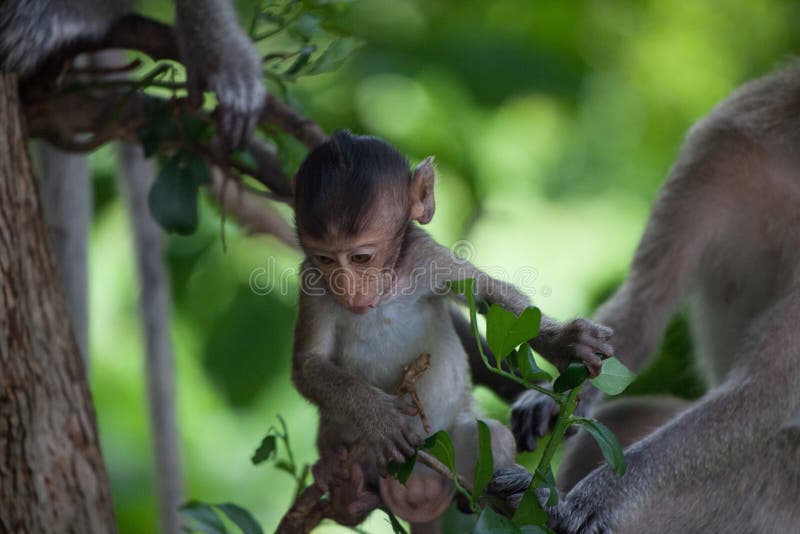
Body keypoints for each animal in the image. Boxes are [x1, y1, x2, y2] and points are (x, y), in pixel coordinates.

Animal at [290, 130, 615, 531]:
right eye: (325, 259)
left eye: (361, 258)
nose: (348, 289)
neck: (385, 289)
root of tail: (418, 487)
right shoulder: (311, 284)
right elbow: (308, 364)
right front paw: (377, 418)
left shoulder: (426, 256)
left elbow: (489, 292)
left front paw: (564, 342)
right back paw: (345, 489)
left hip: (454, 449)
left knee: (489, 437)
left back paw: (502, 496)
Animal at [507, 62, 800, 533]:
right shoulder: (720, 143)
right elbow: (642, 310)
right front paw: (553, 394)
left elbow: (764, 386)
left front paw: (606, 495)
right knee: (622, 416)